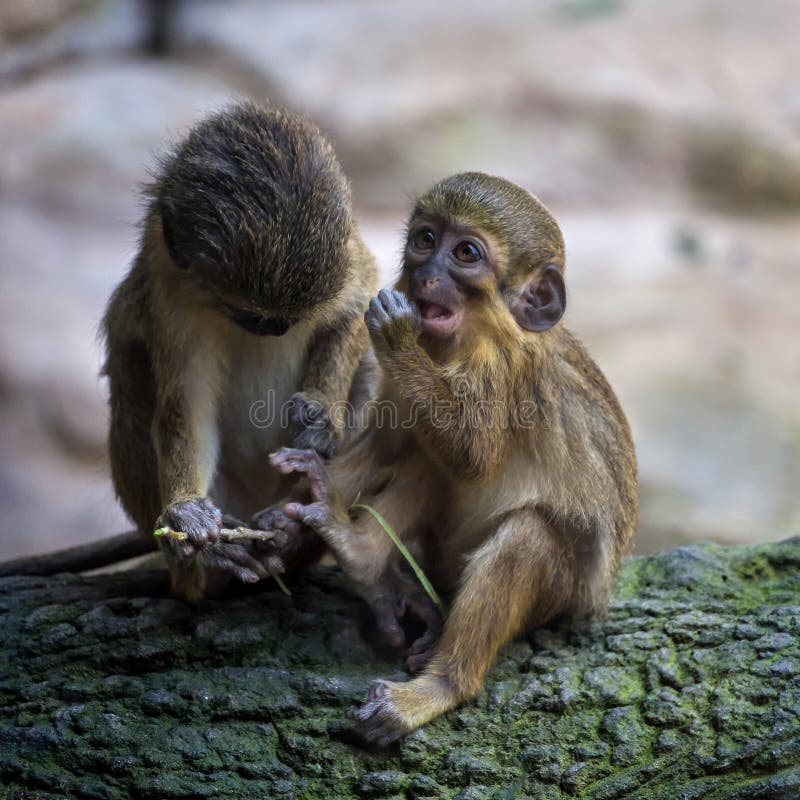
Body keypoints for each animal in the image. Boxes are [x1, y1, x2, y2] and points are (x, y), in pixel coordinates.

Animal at [98, 101, 377, 602]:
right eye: (251, 316)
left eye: (281, 321)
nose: (275, 327)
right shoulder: (167, 291)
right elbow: (184, 403)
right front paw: (186, 513)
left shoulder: (345, 255)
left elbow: (356, 308)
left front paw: (319, 416)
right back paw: (210, 563)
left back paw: (294, 521)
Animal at [255, 171, 638, 744]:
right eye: (425, 239)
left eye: (465, 253)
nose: (425, 274)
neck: (456, 342)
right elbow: (388, 447)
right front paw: (280, 520)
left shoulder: (501, 367)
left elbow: (471, 457)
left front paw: (396, 337)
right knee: (422, 458)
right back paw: (361, 555)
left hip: (562, 592)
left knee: (526, 533)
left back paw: (441, 684)